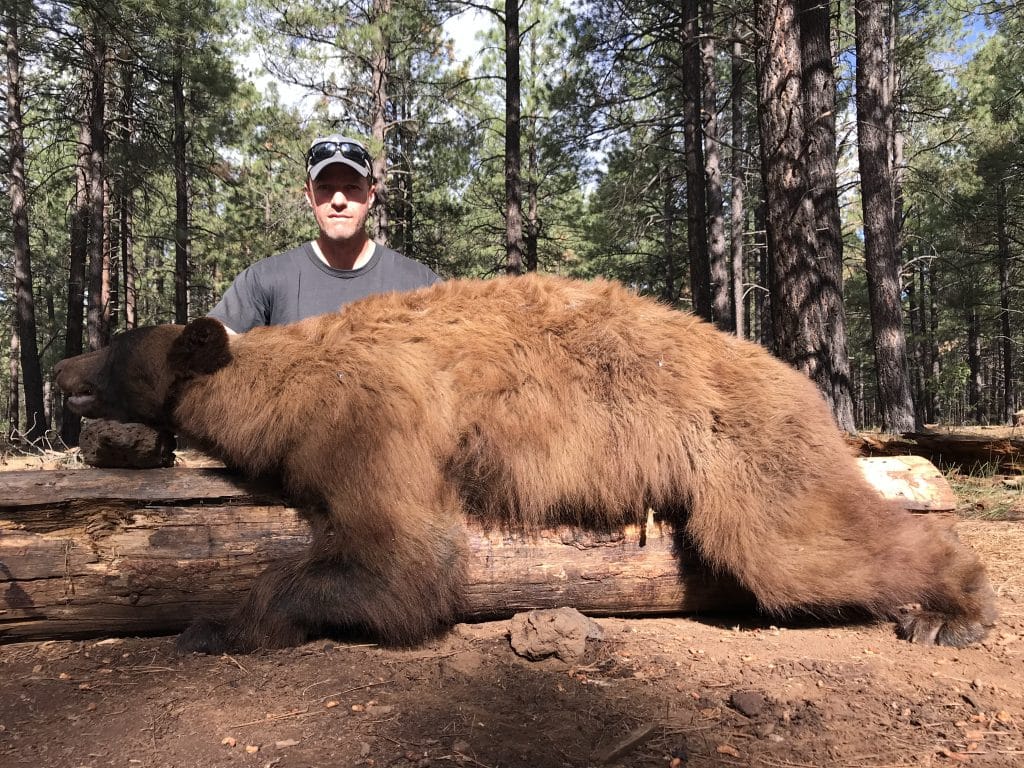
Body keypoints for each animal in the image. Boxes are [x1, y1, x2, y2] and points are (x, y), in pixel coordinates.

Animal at [54, 274, 997, 653]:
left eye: (114, 347)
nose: (60, 369)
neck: (284, 386)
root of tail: (799, 380)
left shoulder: (372, 420)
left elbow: (401, 562)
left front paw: (216, 624)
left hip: (740, 445)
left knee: (795, 546)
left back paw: (953, 605)